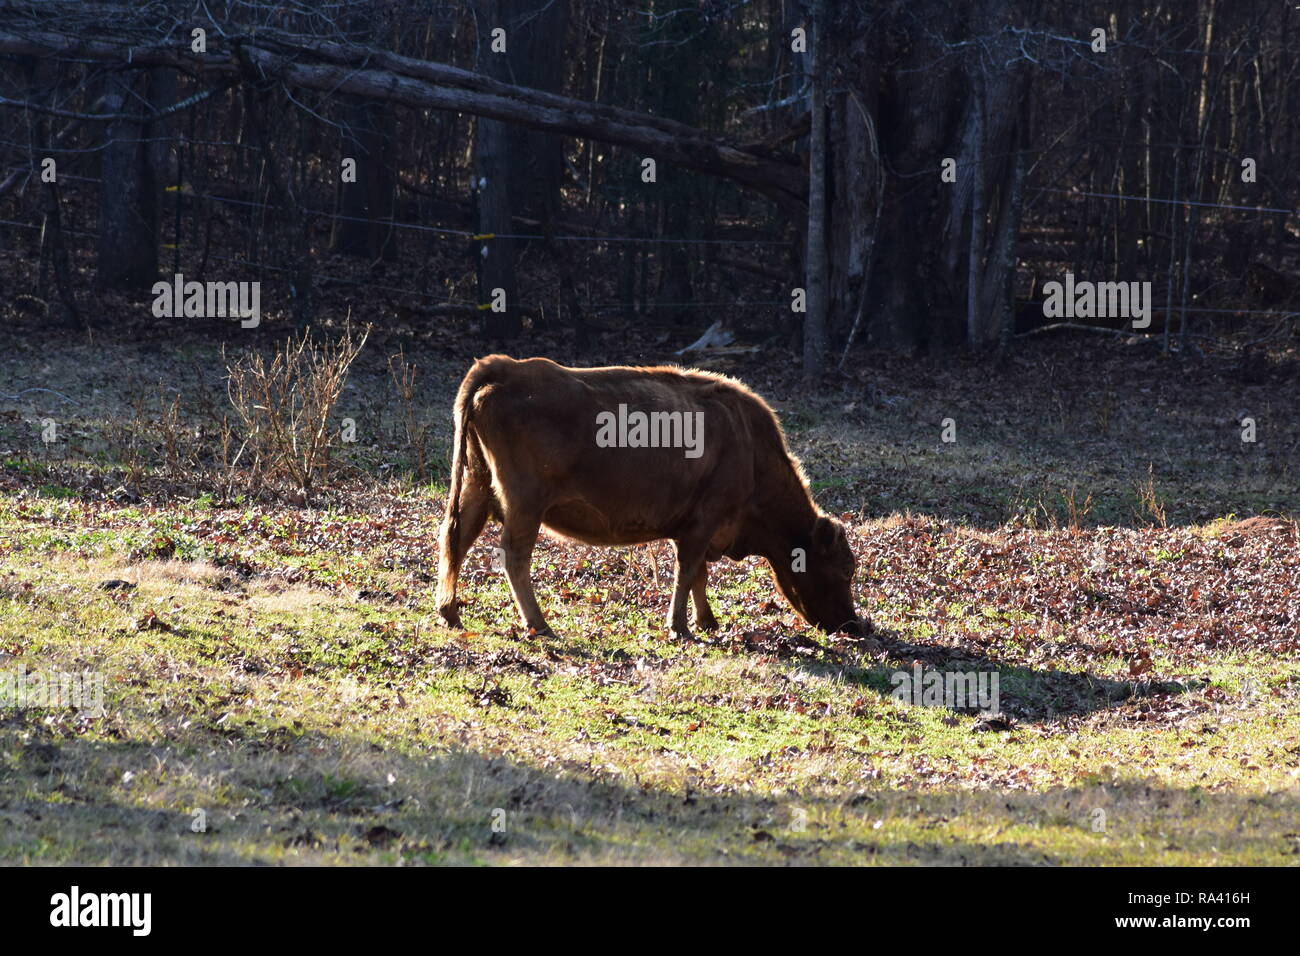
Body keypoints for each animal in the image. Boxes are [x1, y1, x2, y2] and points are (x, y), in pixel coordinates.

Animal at [436, 355, 871, 641]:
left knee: (455, 539)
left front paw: (707, 621)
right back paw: (539, 624)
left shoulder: (698, 529)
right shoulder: (702, 524)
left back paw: (450, 612)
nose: (852, 625)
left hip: (476, 487)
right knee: (514, 554)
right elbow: (688, 571)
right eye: (845, 569)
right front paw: (680, 627)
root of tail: (505, 367)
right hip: (524, 504)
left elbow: (698, 575)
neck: (749, 448)